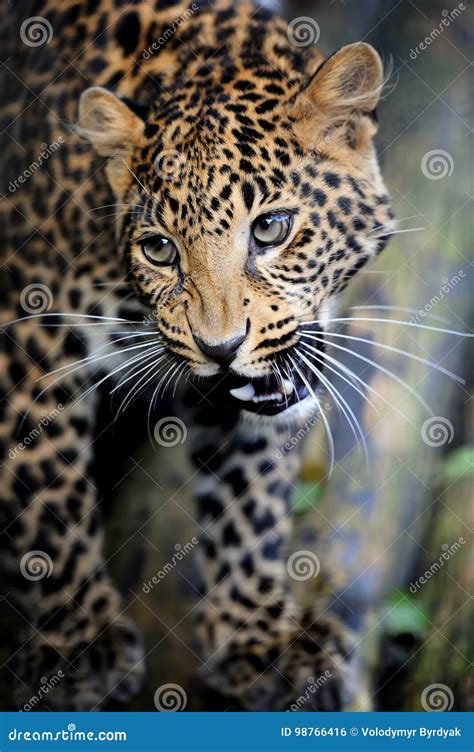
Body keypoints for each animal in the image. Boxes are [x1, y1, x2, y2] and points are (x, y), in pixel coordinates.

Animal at [0, 0, 394, 711]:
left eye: (270, 228)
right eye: (159, 249)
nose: (221, 348)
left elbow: (249, 501)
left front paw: (257, 639)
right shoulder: (27, 331)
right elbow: (47, 493)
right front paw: (81, 647)